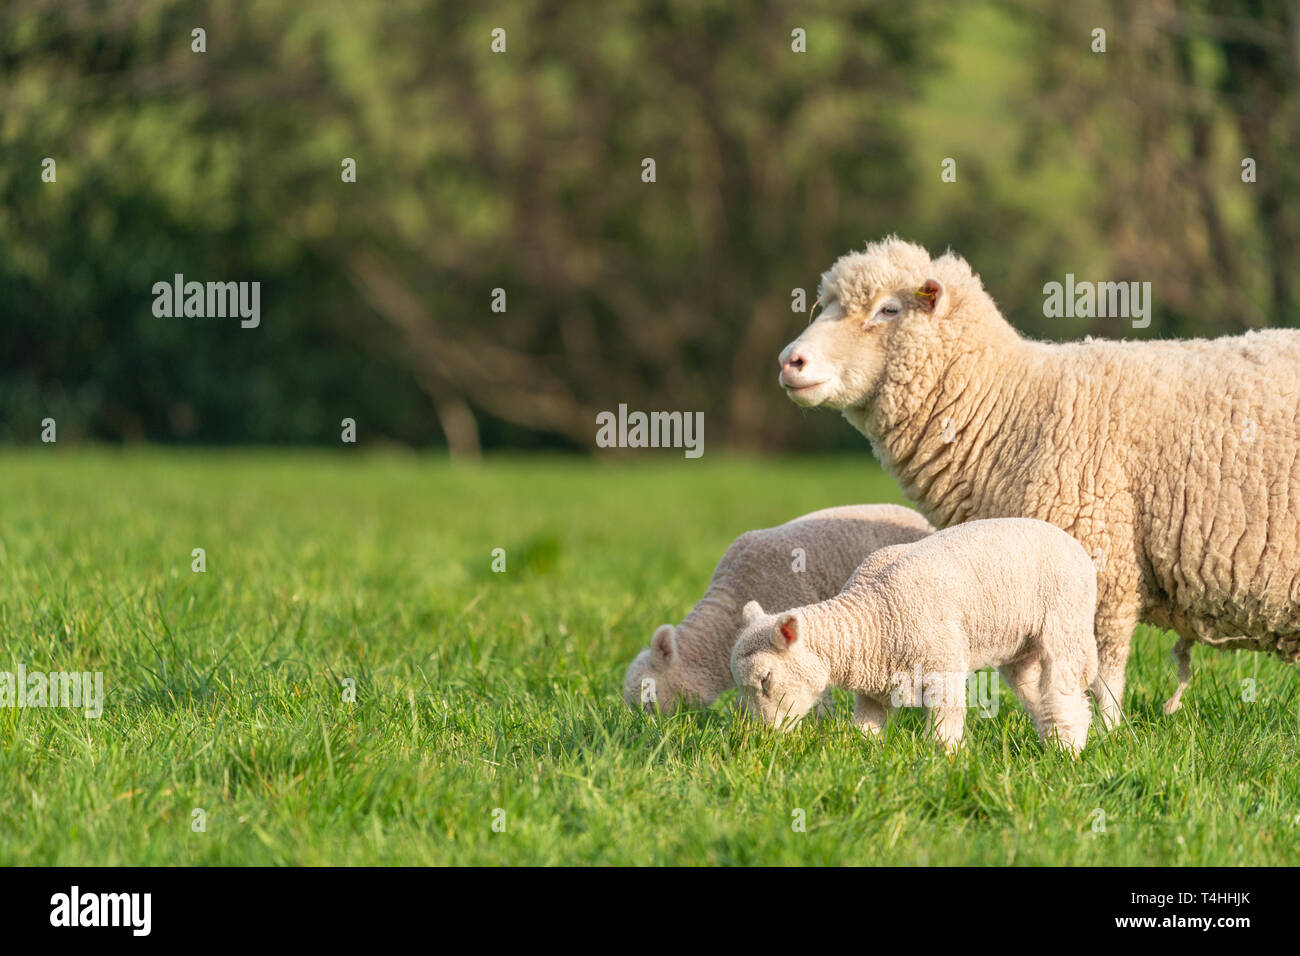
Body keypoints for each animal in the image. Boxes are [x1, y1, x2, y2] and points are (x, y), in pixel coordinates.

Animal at [730, 517, 1099, 752]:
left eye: (765, 680)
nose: (764, 738)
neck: (872, 616)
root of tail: (1073, 543)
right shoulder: (874, 687)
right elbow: (865, 728)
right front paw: (864, 757)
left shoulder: (943, 665)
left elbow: (944, 729)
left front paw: (945, 761)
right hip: (1021, 648)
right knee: (1037, 691)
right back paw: (1054, 743)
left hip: (1065, 622)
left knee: (1064, 691)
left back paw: (1069, 749)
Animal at [776, 235, 1300, 727]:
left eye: (889, 308)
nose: (789, 361)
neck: (1013, 406)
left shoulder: (1098, 556)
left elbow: (1103, 666)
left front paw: (1109, 732)